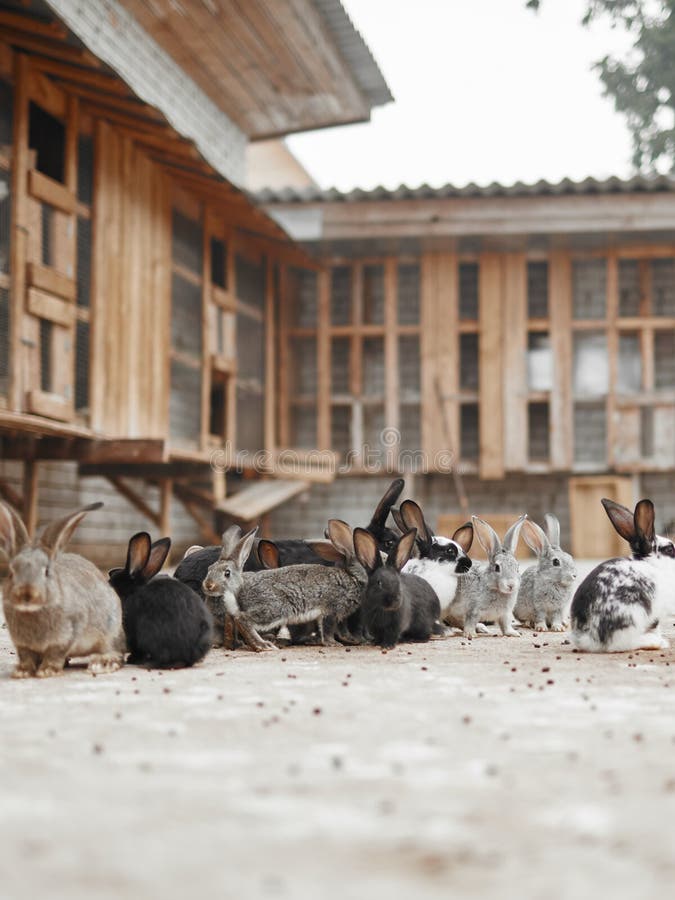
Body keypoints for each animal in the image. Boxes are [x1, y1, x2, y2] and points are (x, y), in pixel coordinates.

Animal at [0, 501, 125, 678]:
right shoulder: (22, 645)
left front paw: (47, 670)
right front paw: (22, 672)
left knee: (116, 652)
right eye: (11, 572)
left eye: (47, 571)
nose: (26, 594)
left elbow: (55, 654)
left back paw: (101, 664)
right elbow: (26, 656)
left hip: (110, 629)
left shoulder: (69, 632)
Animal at [202, 519, 367, 652]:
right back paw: (263, 646)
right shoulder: (331, 610)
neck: (352, 577)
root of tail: (236, 592)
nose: (208, 585)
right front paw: (333, 644)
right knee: (243, 620)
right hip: (275, 608)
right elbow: (327, 629)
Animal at [570, 498, 675, 653]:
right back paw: (655, 642)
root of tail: (589, 639)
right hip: (634, 613)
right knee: (621, 644)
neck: (652, 565)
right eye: (669, 549)